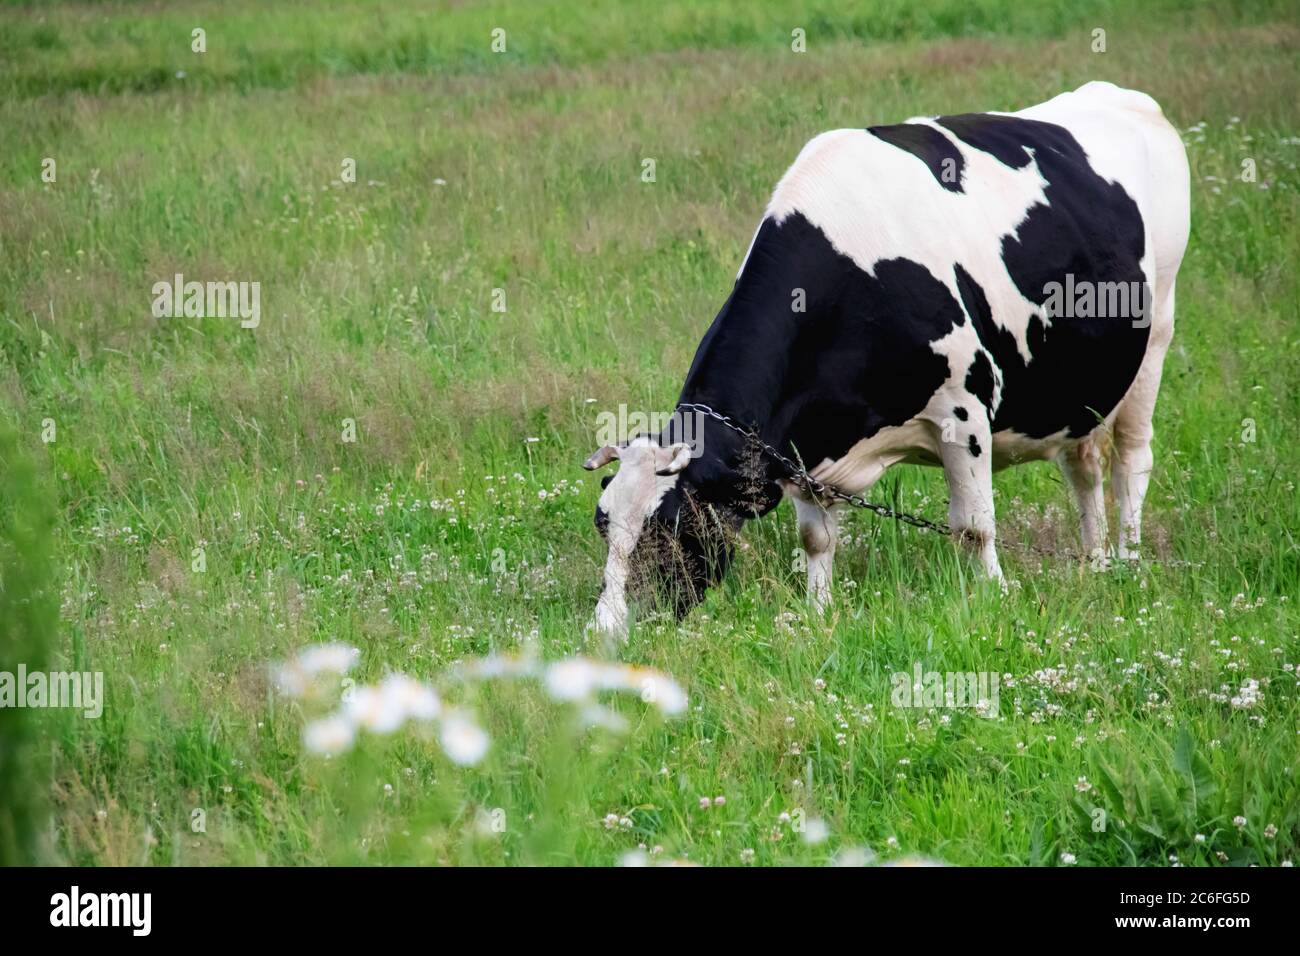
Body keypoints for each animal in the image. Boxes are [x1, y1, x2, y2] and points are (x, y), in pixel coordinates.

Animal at [585, 81, 1190, 637]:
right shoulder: (808, 448)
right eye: (602, 524)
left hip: (1156, 334)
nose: (602, 633)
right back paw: (1094, 563)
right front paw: (819, 612)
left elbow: (974, 527)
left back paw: (1128, 562)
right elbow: (816, 537)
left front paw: (995, 597)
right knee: (1083, 464)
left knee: (1130, 461)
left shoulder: (964, 410)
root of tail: (1121, 94)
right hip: (1083, 386)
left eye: (672, 529)